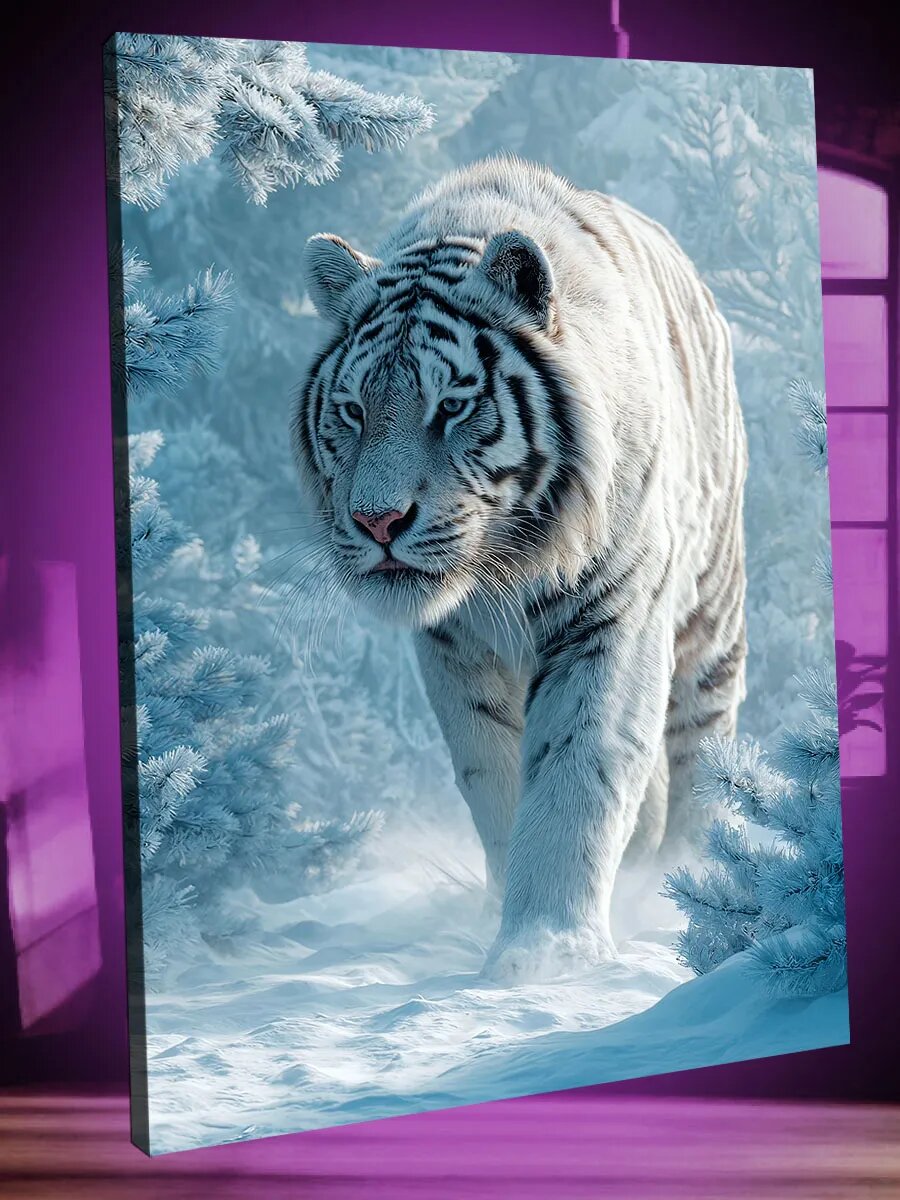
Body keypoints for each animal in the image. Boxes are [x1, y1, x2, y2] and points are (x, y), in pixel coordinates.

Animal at [292, 156, 747, 983]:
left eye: (451, 405)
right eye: (352, 410)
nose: (378, 522)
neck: (505, 568)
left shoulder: (613, 616)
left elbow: (577, 773)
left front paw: (546, 953)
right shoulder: (454, 651)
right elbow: (494, 777)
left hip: (711, 618)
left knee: (702, 748)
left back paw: (693, 879)